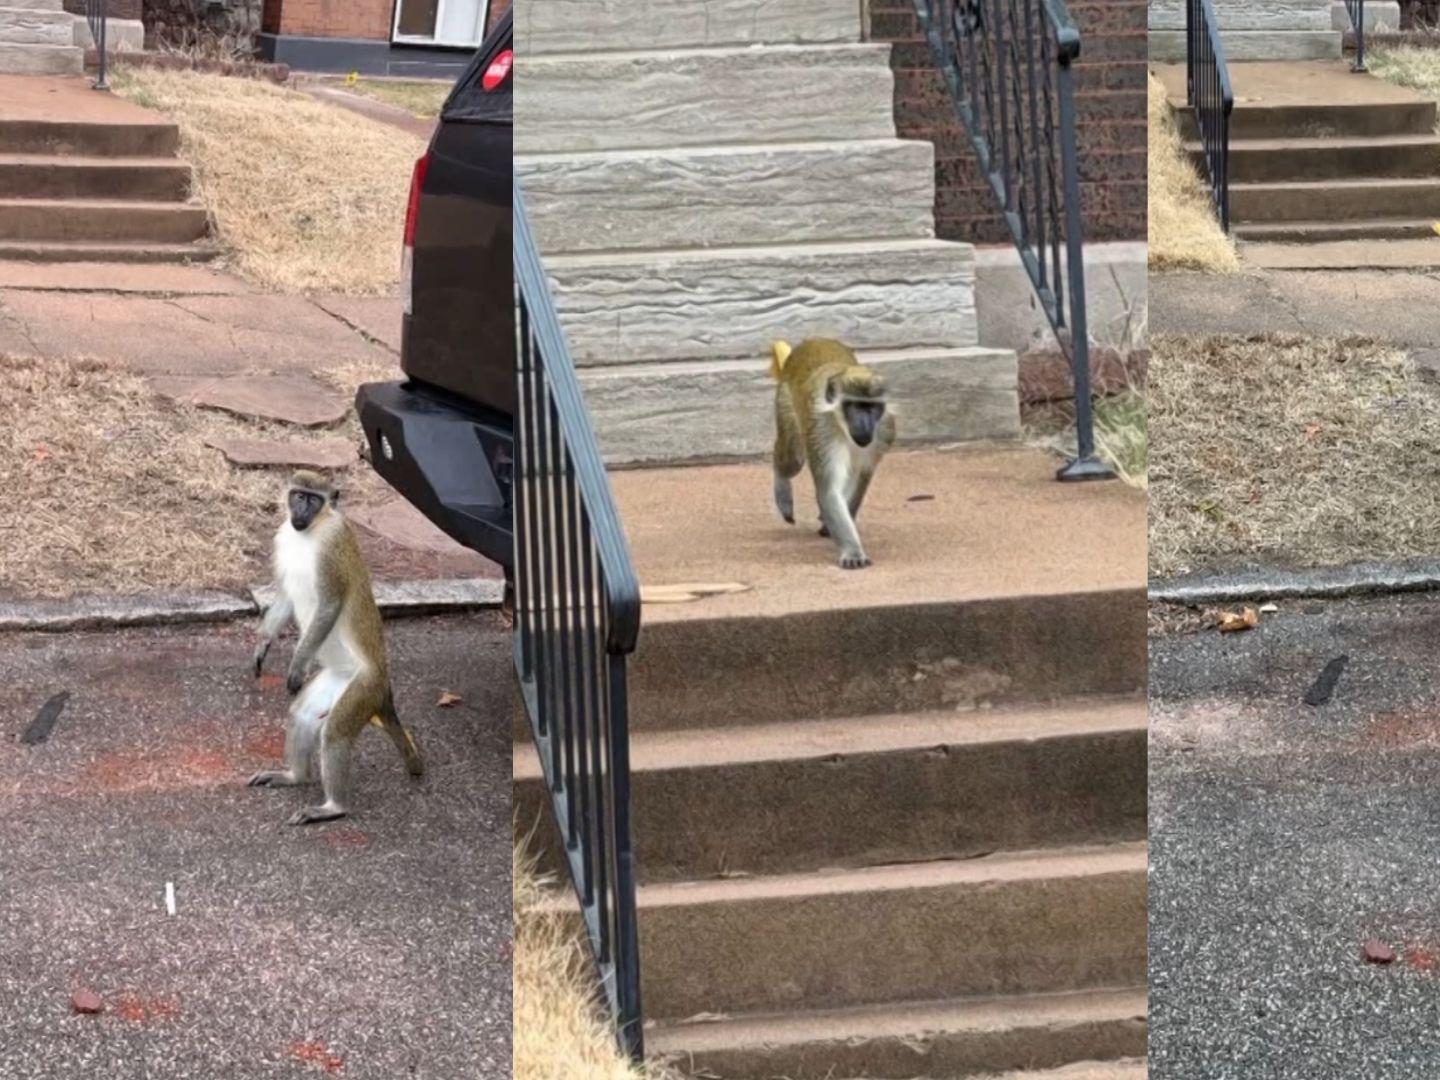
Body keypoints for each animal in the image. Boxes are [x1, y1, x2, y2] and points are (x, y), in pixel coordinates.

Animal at [249, 470, 423, 825]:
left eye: (313, 500)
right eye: (298, 495)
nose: (301, 511)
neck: (310, 532)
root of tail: (383, 683)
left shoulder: (333, 546)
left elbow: (329, 605)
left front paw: (297, 665)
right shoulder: (282, 537)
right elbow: (286, 595)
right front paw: (263, 643)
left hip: (364, 687)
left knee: (334, 733)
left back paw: (334, 807)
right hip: (338, 680)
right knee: (302, 715)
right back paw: (295, 777)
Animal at [770, 338, 896, 570]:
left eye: (872, 407)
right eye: (854, 406)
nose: (865, 425)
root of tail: (815, 339)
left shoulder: (885, 429)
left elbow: (862, 477)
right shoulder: (821, 430)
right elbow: (829, 490)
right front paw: (852, 551)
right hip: (784, 401)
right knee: (792, 459)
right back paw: (782, 483)